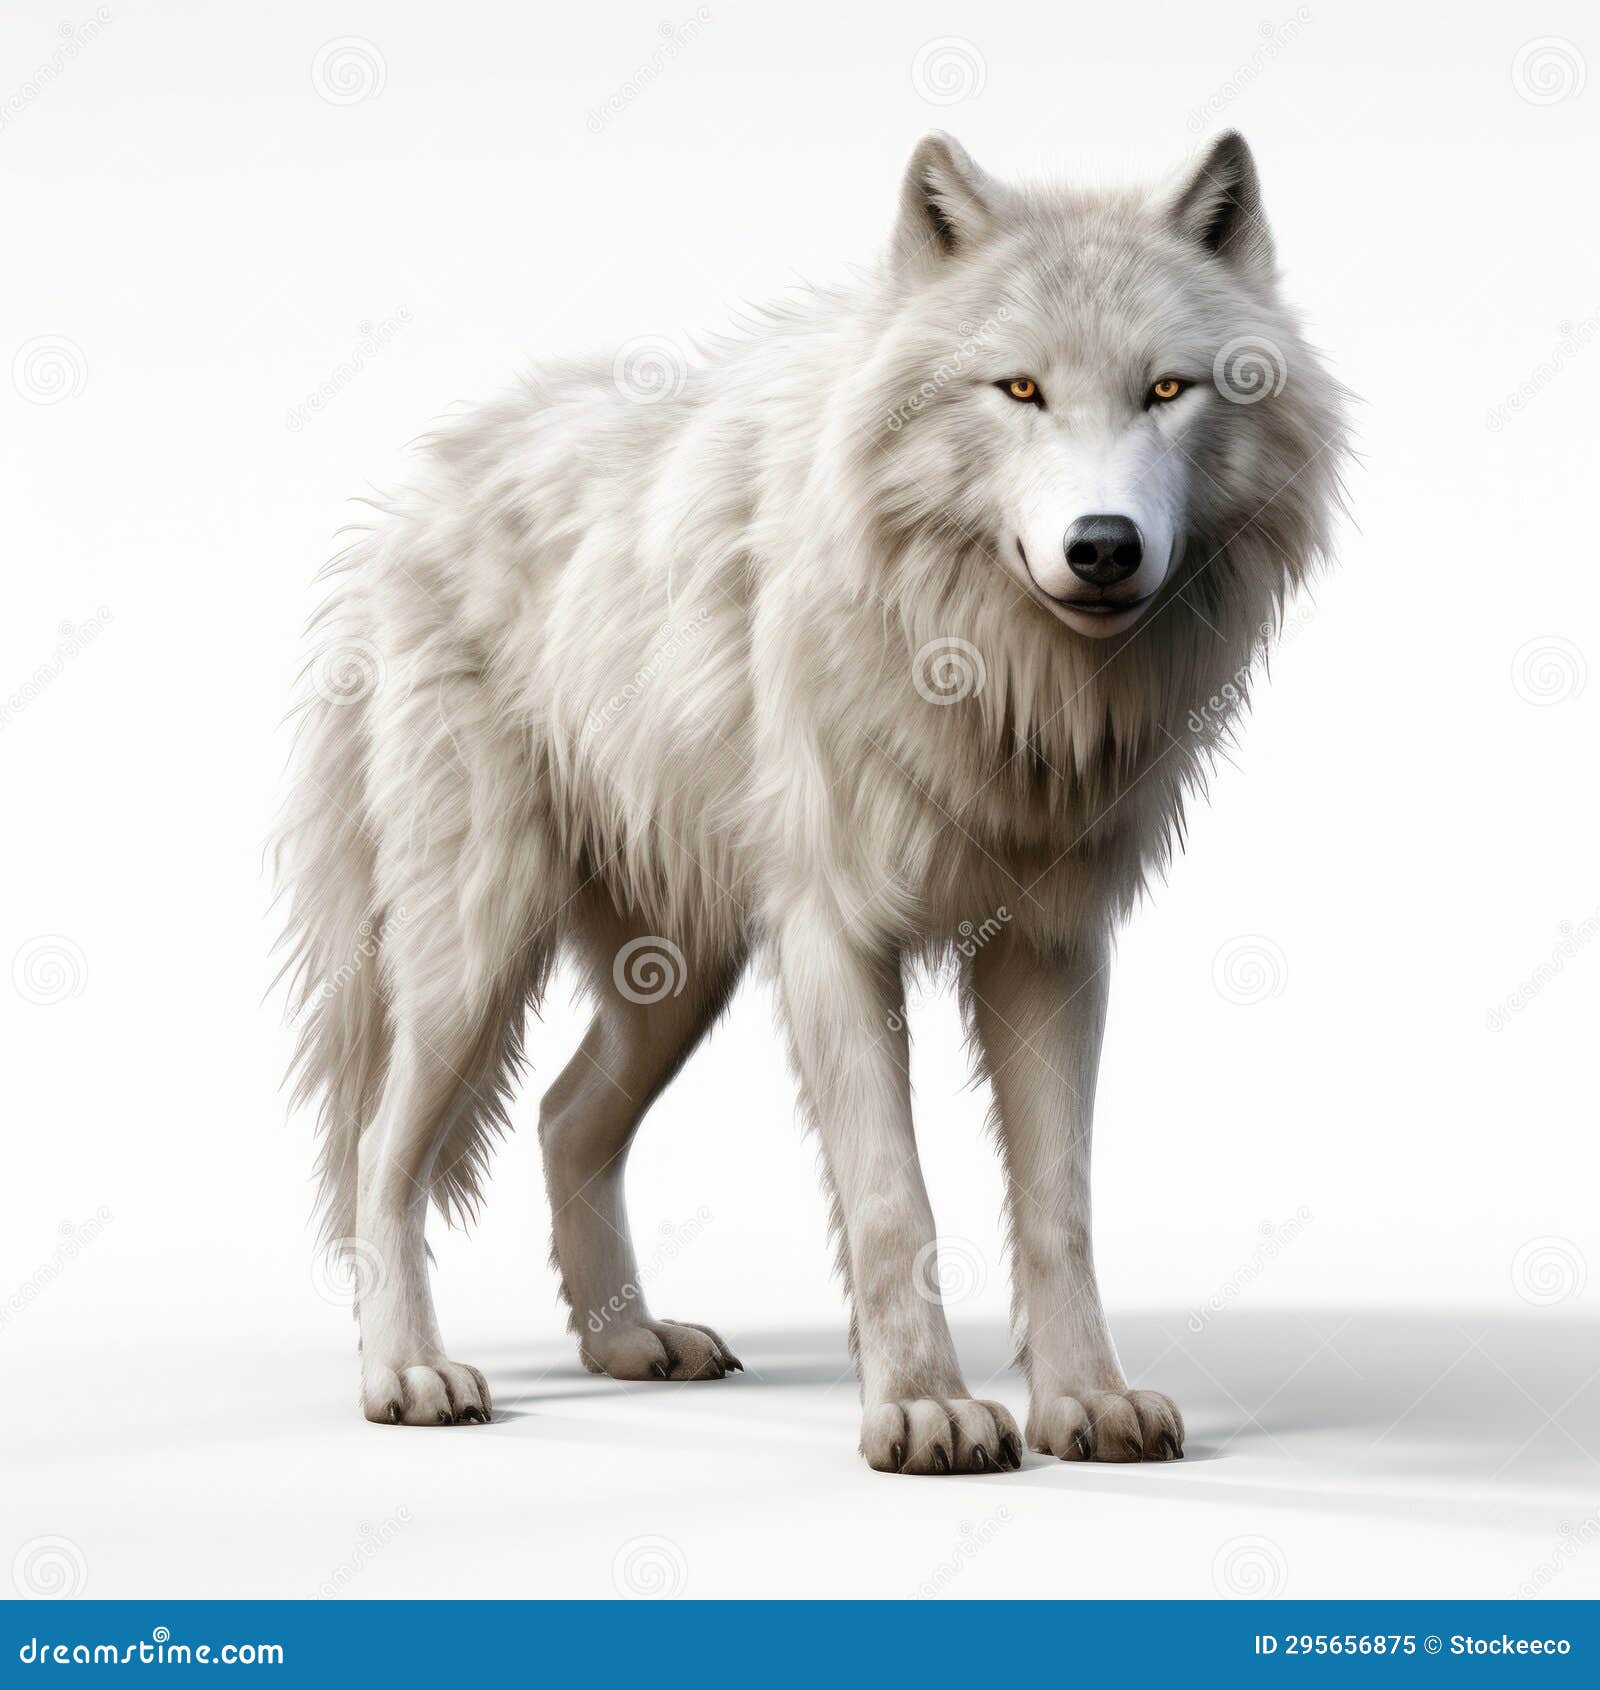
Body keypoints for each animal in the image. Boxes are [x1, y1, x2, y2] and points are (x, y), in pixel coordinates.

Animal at [276, 131, 1348, 1473]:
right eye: (1017, 390)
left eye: (1167, 390)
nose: (1101, 546)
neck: (994, 673)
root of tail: (412, 498)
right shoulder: (836, 933)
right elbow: (893, 1197)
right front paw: (925, 1411)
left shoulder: (1051, 943)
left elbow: (1058, 1205)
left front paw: (1085, 1402)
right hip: (476, 944)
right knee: (382, 1149)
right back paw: (408, 1372)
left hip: (674, 971)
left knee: (566, 1117)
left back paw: (628, 1344)